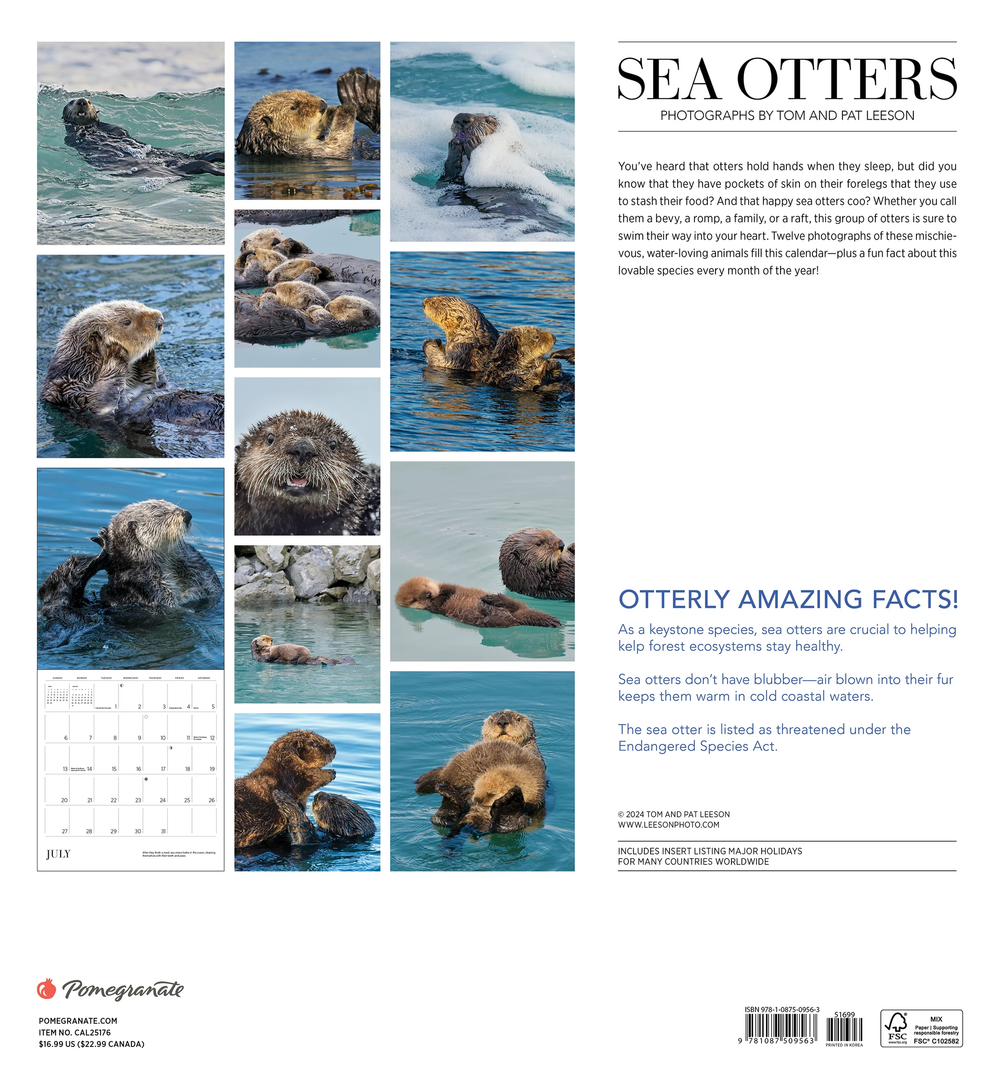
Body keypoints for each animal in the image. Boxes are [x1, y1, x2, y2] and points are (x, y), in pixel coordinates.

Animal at [39, 499, 222, 613]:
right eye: (160, 515)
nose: (187, 515)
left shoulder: (194, 563)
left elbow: (212, 584)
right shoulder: (147, 582)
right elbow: (169, 603)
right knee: (48, 591)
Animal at [62, 98, 225, 178]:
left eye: (89, 102)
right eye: (71, 102)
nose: (82, 101)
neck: (91, 128)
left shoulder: (107, 126)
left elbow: (119, 131)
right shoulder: (71, 135)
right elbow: (76, 137)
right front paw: (84, 133)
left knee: (204, 157)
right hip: (182, 167)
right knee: (200, 164)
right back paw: (220, 168)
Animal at [235, 73, 380, 160]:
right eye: (294, 107)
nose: (323, 105)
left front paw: (332, 110)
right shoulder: (304, 150)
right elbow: (337, 145)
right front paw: (346, 108)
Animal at [394, 576, 561, 628]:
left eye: (425, 585)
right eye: (414, 599)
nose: (428, 595)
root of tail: (518, 615)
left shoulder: (449, 587)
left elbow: (449, 591)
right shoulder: (434, 607)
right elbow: (439, 604)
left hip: (515, 606)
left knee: (511, 603)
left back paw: (492, 598)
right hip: (497, 621)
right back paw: (486, 605)